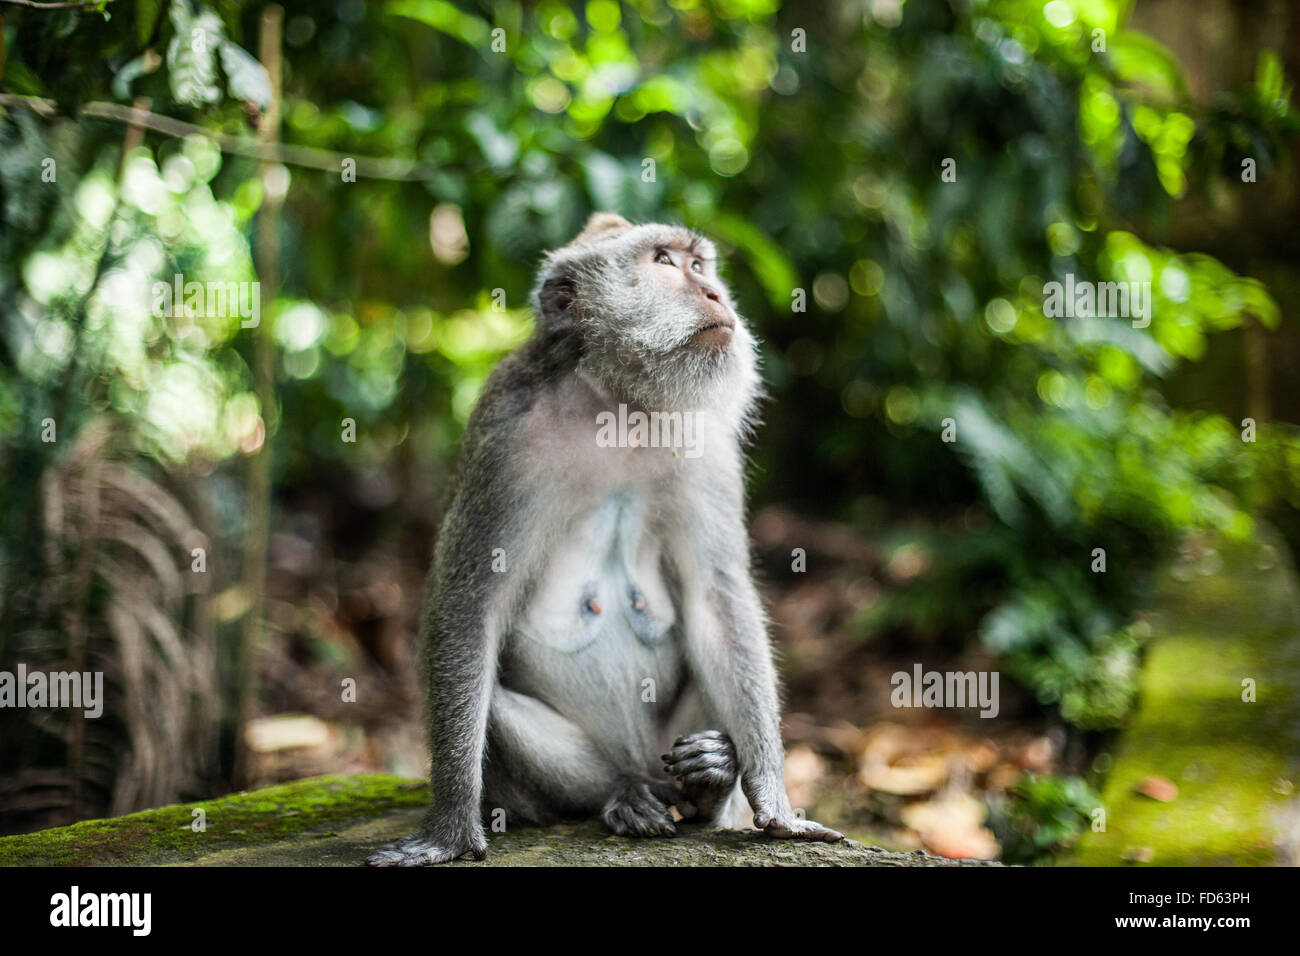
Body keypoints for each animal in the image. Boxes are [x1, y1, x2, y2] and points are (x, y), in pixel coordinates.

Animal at [366, 212, 844, 865]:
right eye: (664, 262)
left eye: (700, 266)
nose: (715, 295)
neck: (619, 408)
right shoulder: (504, 437)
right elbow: (469, 608)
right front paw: (450, 829)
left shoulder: (707, 449)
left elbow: (717, 603)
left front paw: (773, 799)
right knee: (500, 710)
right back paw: (625, 797)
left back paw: (710, 779)